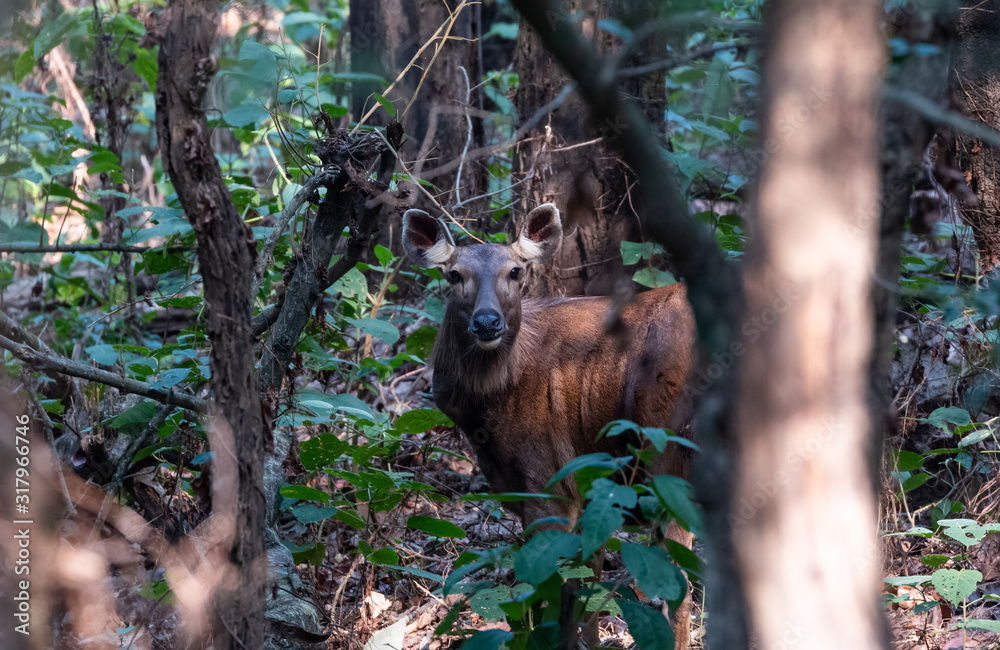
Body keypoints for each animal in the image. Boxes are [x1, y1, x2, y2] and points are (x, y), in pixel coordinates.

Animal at [402, 203, 697, 649]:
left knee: (679, 595)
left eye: (514, 271)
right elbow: (586, 596)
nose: (487, 322)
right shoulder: (592, 495)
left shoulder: (547, 483)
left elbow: (548, 596)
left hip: (668, 464)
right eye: (454, 274)